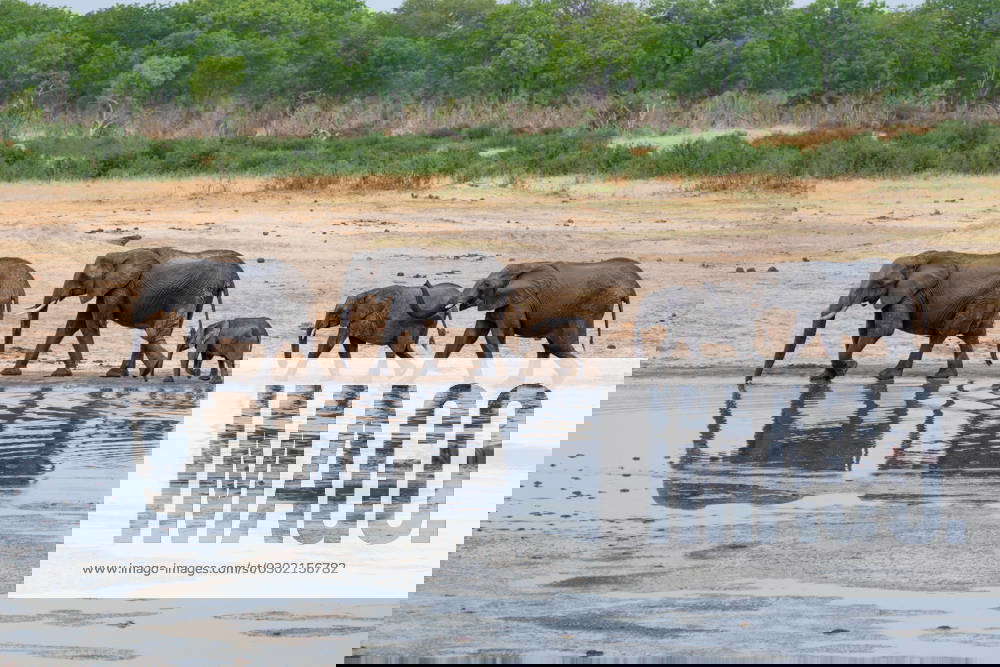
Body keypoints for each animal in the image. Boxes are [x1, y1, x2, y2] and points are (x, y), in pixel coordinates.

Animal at [0, 247, 243, 377]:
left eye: (83, 279)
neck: (119, 258)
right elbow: (75, 324)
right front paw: (14, 370)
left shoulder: (121, 289)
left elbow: (90, 325)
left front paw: (61, 372)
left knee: (156, 334)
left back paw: (126, 371)